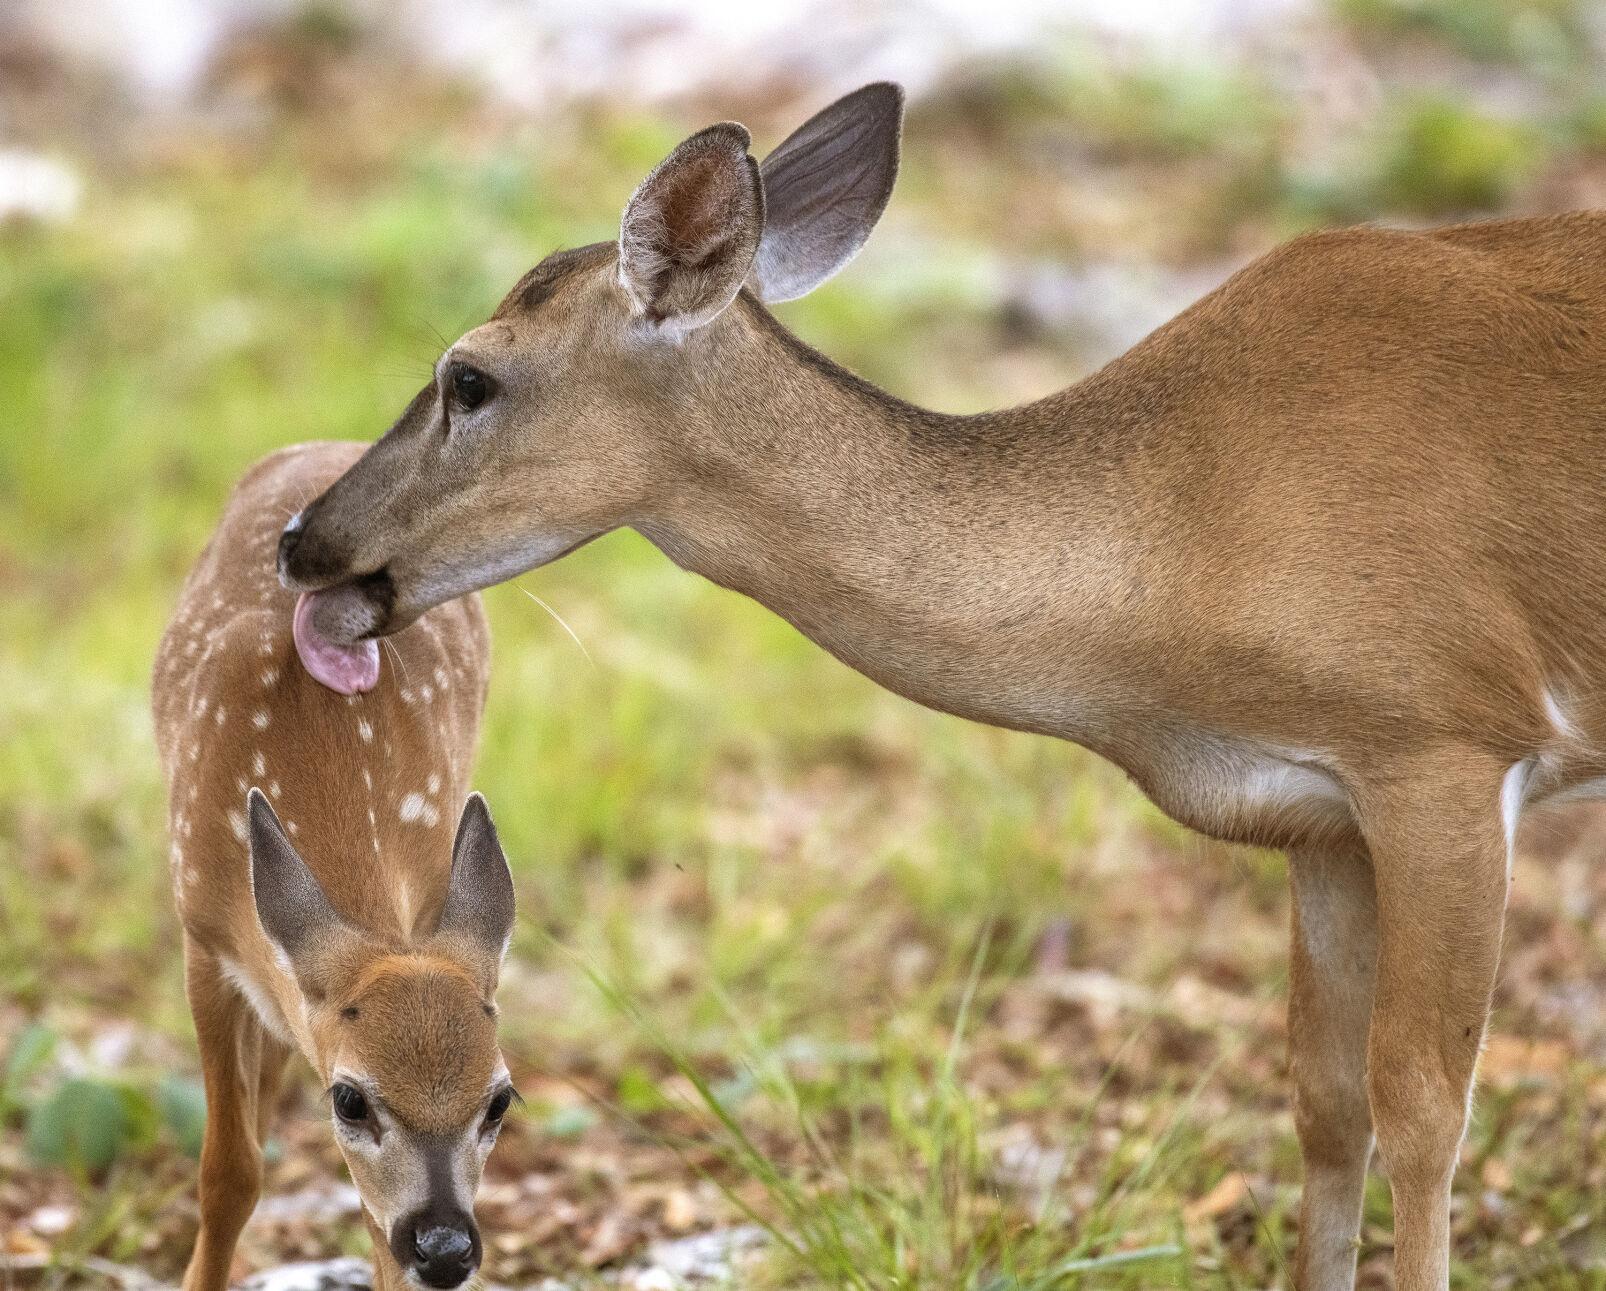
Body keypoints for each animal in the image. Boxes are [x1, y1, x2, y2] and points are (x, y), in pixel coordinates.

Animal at [152, 441, 515, 1291]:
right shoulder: (202, 938)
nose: (446, 1247)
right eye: (351, 1100)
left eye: (500, 1101)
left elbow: (371, 1219)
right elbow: (228, 1172)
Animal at [272, 81, 1606, 1290]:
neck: (1176, 542)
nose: (303, 539)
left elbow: (1423, 1106)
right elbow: (1329, 1102)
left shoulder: (1447, 738)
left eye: (470, 378)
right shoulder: (1321, 820)